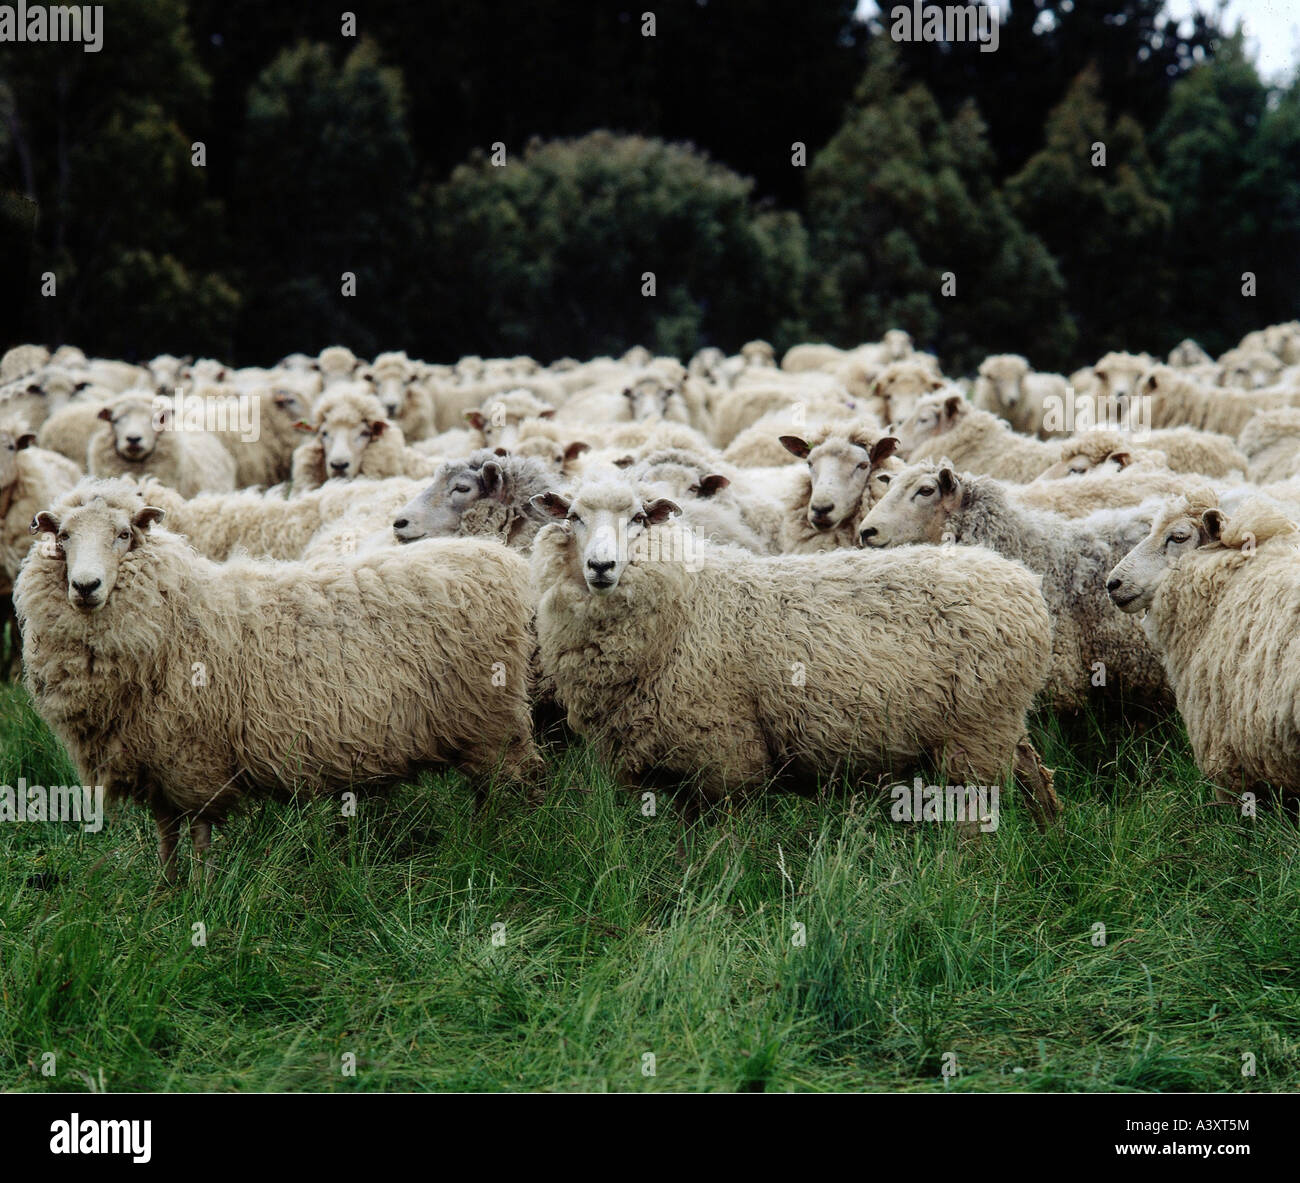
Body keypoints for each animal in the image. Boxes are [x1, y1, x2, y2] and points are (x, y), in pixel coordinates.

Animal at [15, 479, 541, 881]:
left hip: (494, 724)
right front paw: (165, 889)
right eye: (63, 536)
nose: (85, 586)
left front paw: (200, 892)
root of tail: (503, 560)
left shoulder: (194, 757)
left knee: (513, 788)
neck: (174, 611)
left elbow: (200, 832)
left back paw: (502, 847)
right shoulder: (154, 760)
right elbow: (166, 833)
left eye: (124, 534)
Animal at [530, 475, 1059, 824]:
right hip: (999, 725)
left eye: (639, 519)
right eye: (573, 518)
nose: (601, 566)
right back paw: (1047, 827)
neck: (684, 603)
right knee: (1033, 769)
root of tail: (1021, 579)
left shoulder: (725, 750)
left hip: (978, 732)